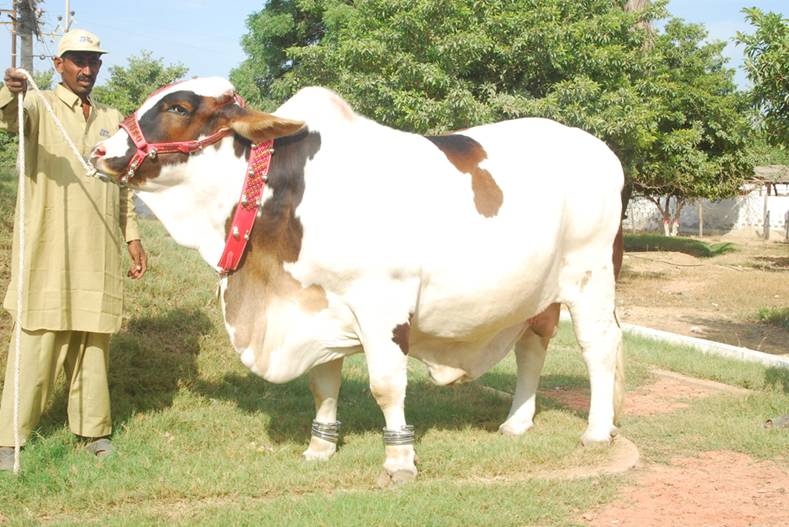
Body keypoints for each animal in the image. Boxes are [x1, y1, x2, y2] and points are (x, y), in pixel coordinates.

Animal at [90, 78, 625, 483]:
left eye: (178, 107)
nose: (101, 149)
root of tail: (599, 148)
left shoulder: (382, 305)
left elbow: (386, 386)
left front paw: (399, 460)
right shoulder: (316, 304)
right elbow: (323, 383)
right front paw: (320, 448)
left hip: (591, 277)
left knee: (598, 348)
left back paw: (597, 431)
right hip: (539, 293)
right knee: (532, 346)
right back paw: (516, 422)